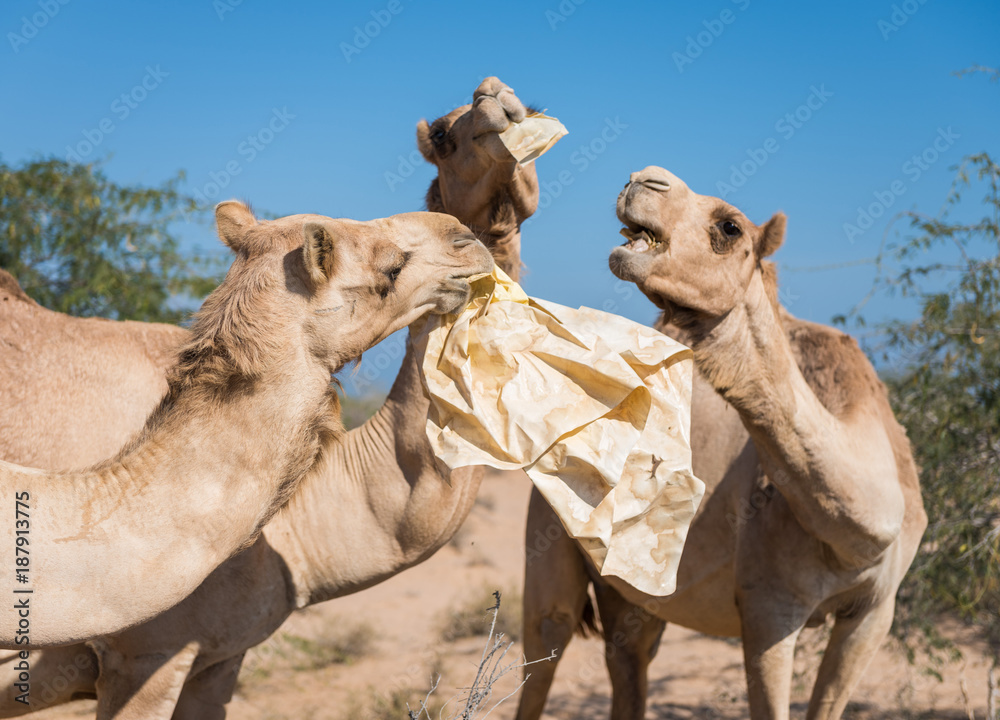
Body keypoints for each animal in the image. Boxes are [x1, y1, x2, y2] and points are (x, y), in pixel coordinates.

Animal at [516, 167, 927, 720]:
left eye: (730, 227)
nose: (642, 180)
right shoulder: (768, 607)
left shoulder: (876, 611)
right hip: (547, 525)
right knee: (545, 642)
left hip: (629, 591)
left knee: (628, 653)